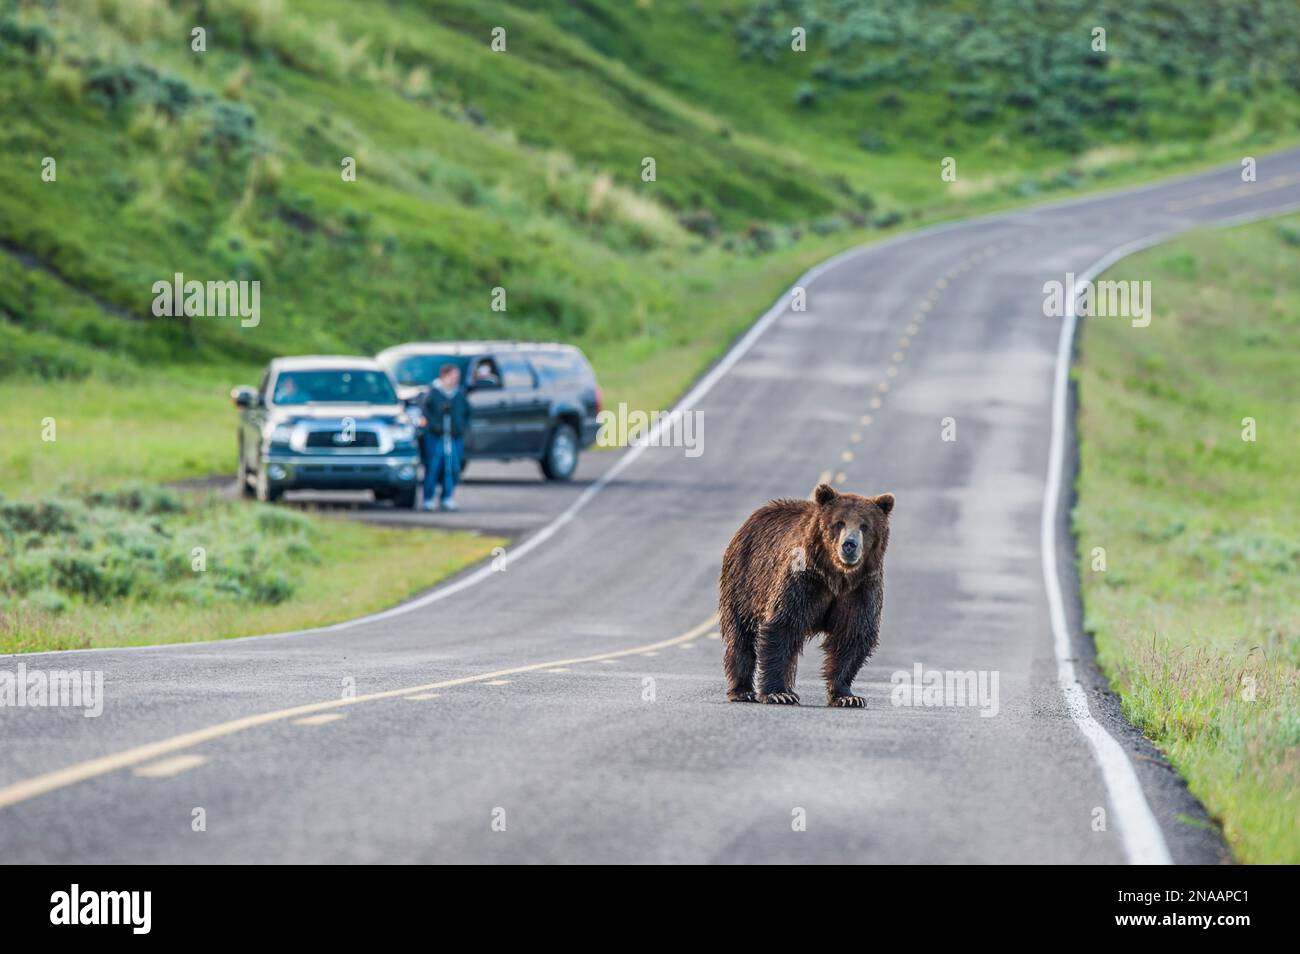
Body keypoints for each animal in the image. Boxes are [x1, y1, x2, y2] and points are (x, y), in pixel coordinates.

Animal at [718, 482, 894, 707]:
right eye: (839, 523)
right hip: (744, 582)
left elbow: (852, 634)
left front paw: (847, 696)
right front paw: (778, 693)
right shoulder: (804, 580)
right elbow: (783, 625)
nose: (850, 545)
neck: (837, 577)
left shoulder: (861, 589)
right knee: (741, 635)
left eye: (865, 526)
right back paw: (742, 691)